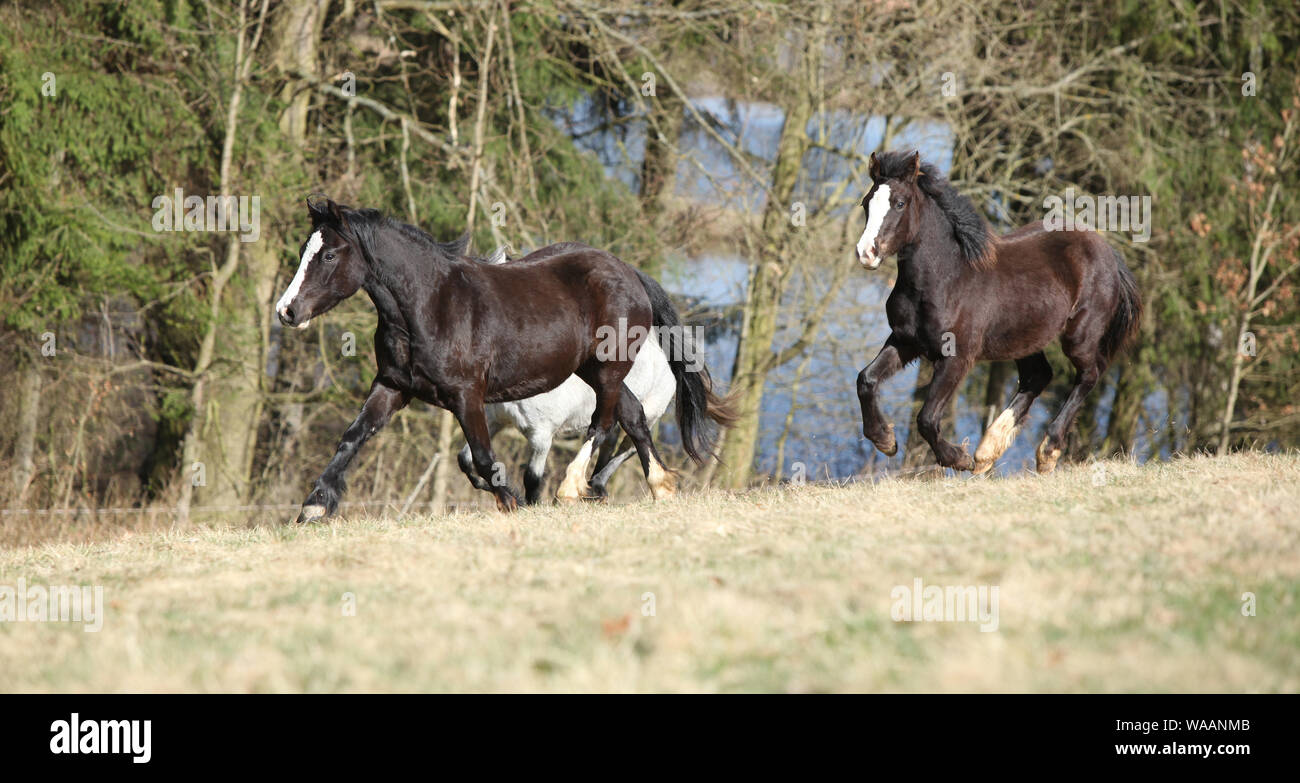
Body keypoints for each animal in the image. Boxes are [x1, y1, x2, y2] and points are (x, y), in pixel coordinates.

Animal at [455, 249, 683, 504]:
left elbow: (532, 479)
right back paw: (594, 487)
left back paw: (593, 486)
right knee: (612, 442)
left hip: (652, 410)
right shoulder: (495, 421)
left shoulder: (542, 435)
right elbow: (466, 460)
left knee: (629, 446)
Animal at [853, 150, 1142, 475]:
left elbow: (926, 418)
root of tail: (1108, 251)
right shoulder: (905, 341)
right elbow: (866, 380)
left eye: (900, 203)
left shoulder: (956, 357)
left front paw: (958, 458)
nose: (866, 253)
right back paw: (988, 450)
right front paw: (885, 440)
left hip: (1079, 336)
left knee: (1089, 374)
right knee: (1039, 375)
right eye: (866, 202)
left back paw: (1046, 452)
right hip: (1024, 337)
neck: (945, 278)